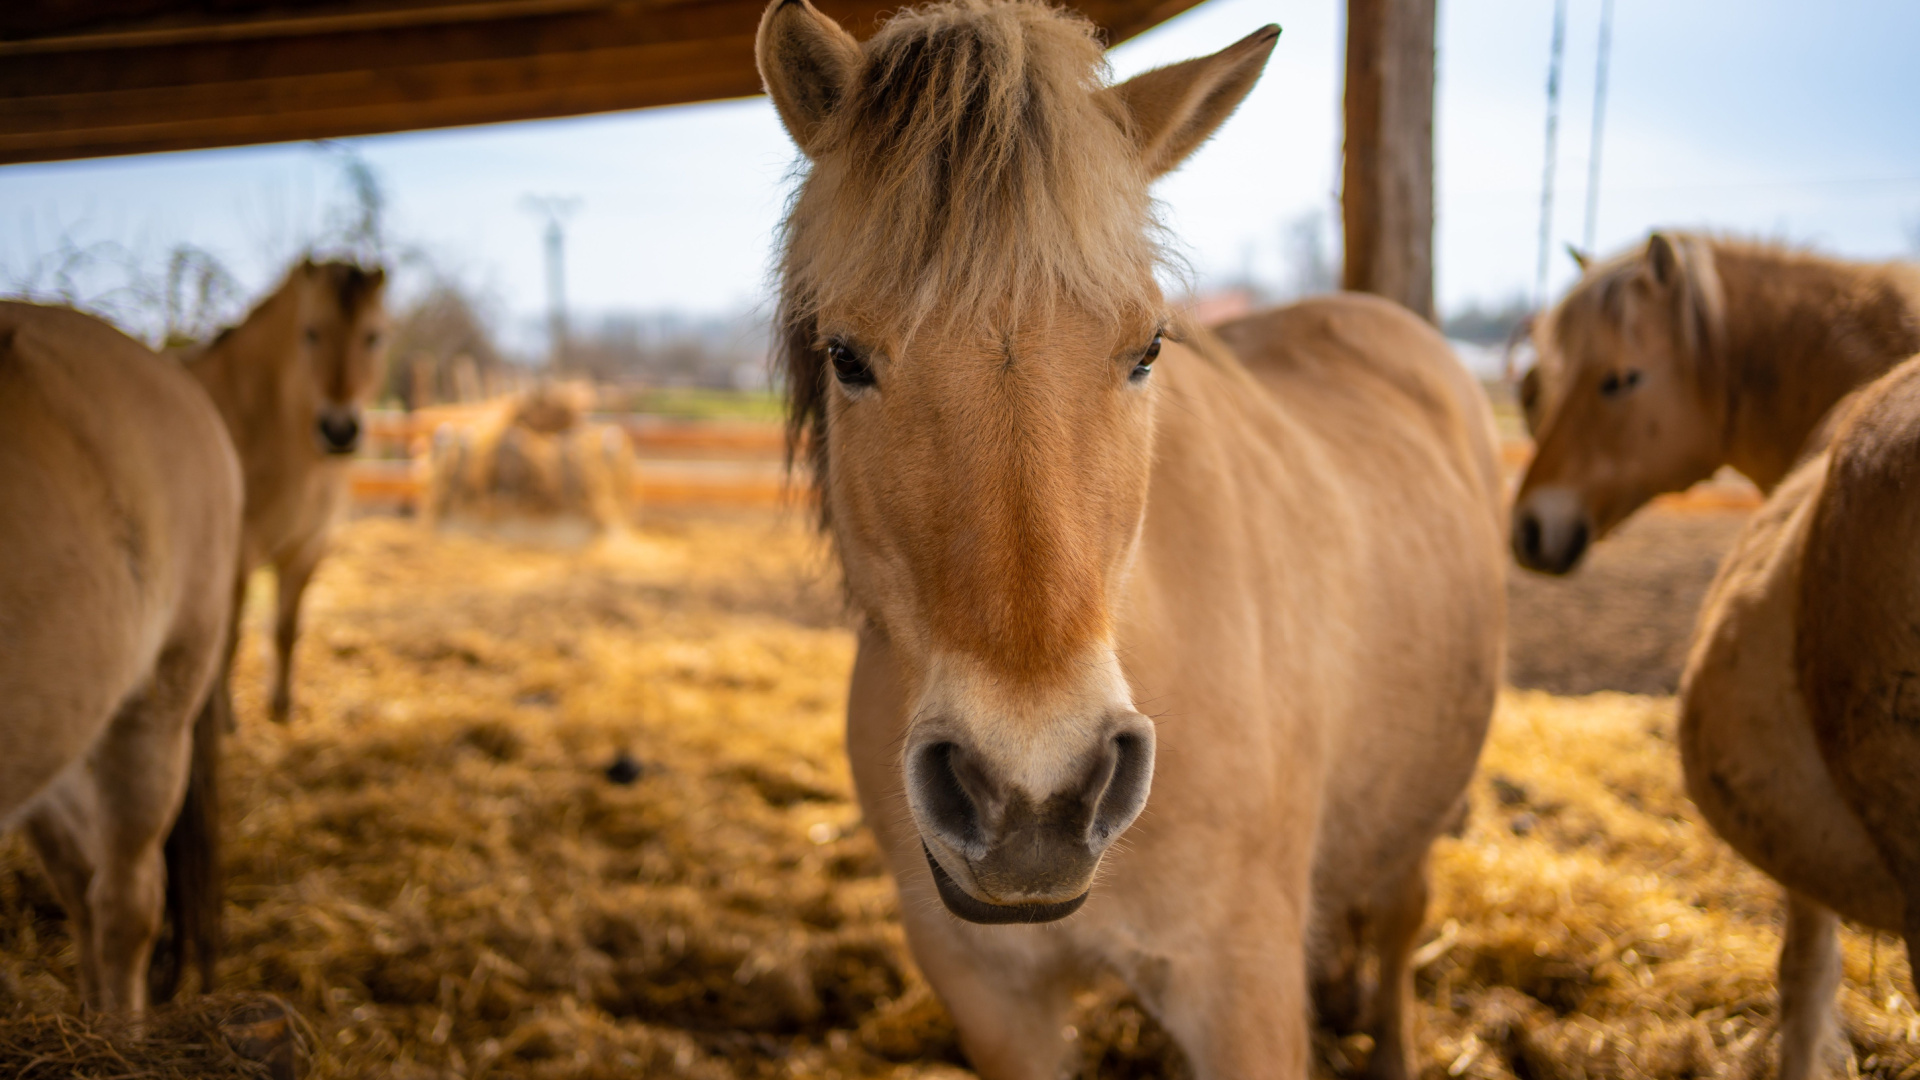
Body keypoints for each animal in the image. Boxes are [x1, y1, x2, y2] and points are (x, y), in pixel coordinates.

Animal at [180, 258, 389, 721]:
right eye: (310, 332)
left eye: (373, 336)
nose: (339, 430)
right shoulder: (240, 552)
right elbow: (232, 636)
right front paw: (226, 718)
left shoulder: (309, 545)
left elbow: (286, 627)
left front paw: (282, 707)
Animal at [757, 2, 1508, 1076]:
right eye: (845, 356)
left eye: (1148, 347)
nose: (1034, 800)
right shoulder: (994, 1002)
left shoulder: (1240, 993)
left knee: (1402, 921)